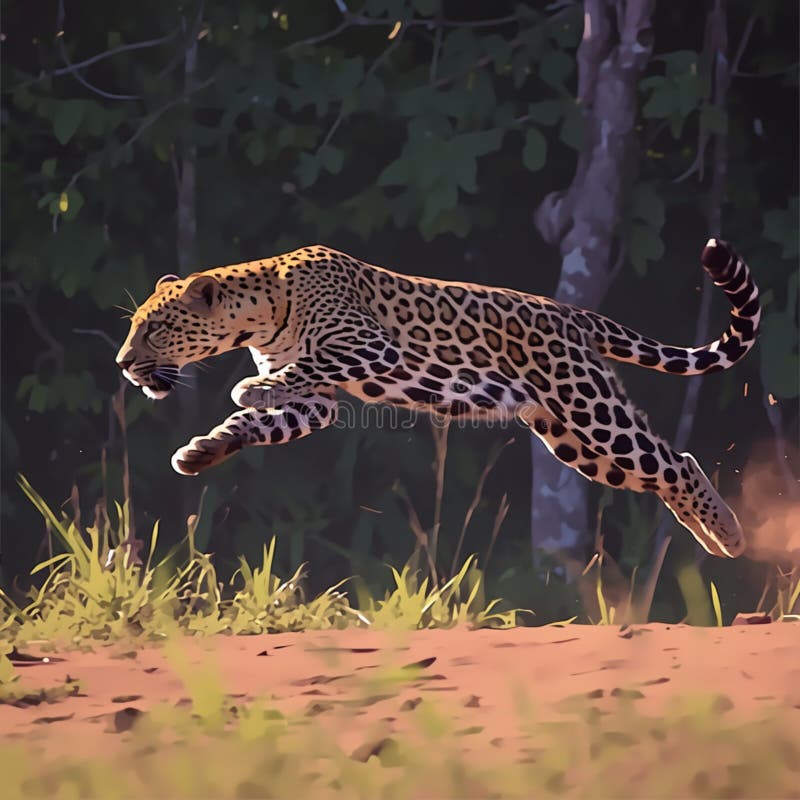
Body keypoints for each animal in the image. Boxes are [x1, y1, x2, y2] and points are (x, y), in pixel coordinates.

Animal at [116, 238, 760, 559]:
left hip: (589, 409)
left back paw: (729, 535)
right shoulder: (317, 401)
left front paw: (247, 388)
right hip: (570, 436)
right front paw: (201, 452)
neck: (258, 312)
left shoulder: (368, 349)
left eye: (155, 329)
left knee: (674, 461)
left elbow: (280, 379)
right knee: (662, 469)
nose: (123, 364)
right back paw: (710, 535)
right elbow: (258, 421)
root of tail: (572, 314)